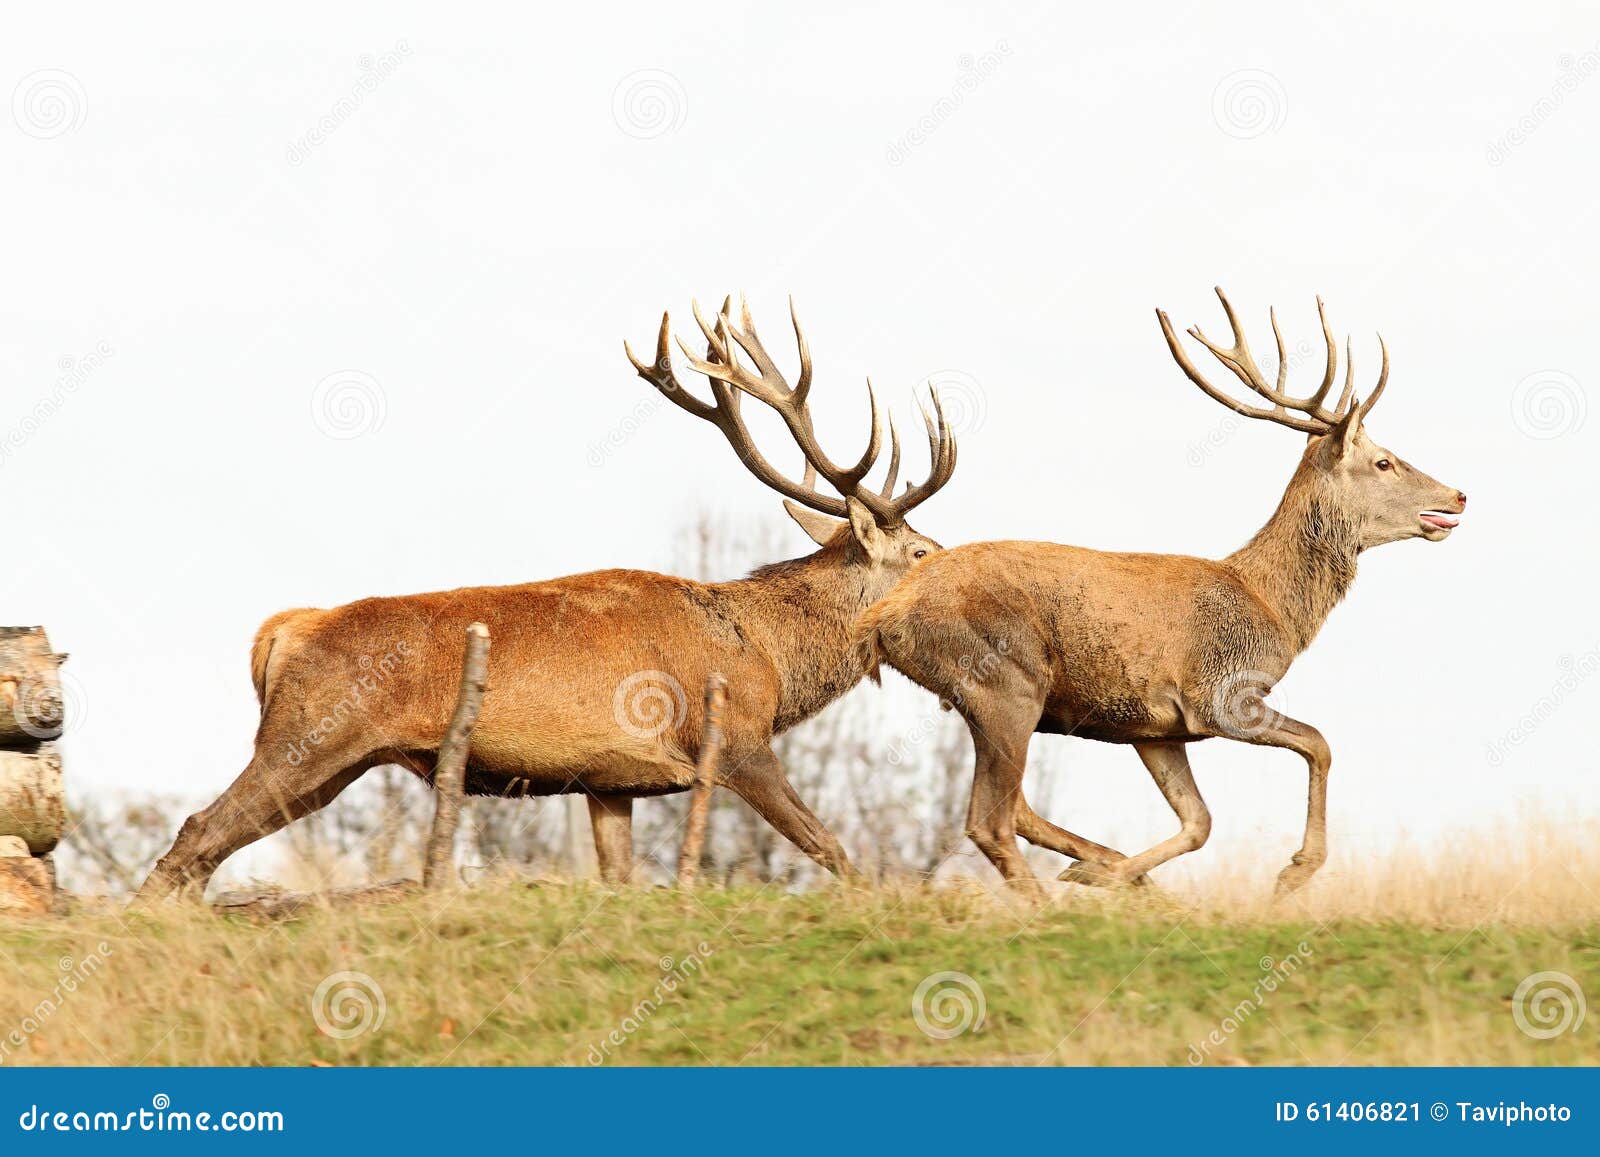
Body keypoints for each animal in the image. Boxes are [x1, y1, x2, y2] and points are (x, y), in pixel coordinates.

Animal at [137, 297, 958, 900]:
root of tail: (282, 632)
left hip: (337, 762)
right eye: (922, 552)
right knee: (196, 832)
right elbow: (831, 848)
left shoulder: (613, 781)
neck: (774, 660)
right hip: (306, 737)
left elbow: (620, 876)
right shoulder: (736, 738)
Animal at [855, 288, 1467, 898]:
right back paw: (1049, 903)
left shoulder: (1155, 727)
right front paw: (1293, 872)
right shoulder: (1220, 694)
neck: (1272, 607)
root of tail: (885, 616)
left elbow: (1199, 821)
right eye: (1384, 461)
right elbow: (1319, 742)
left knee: (1013, 810)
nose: (1458, 495)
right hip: (1006, 682)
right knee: (991, 819)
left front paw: (1107, 874)